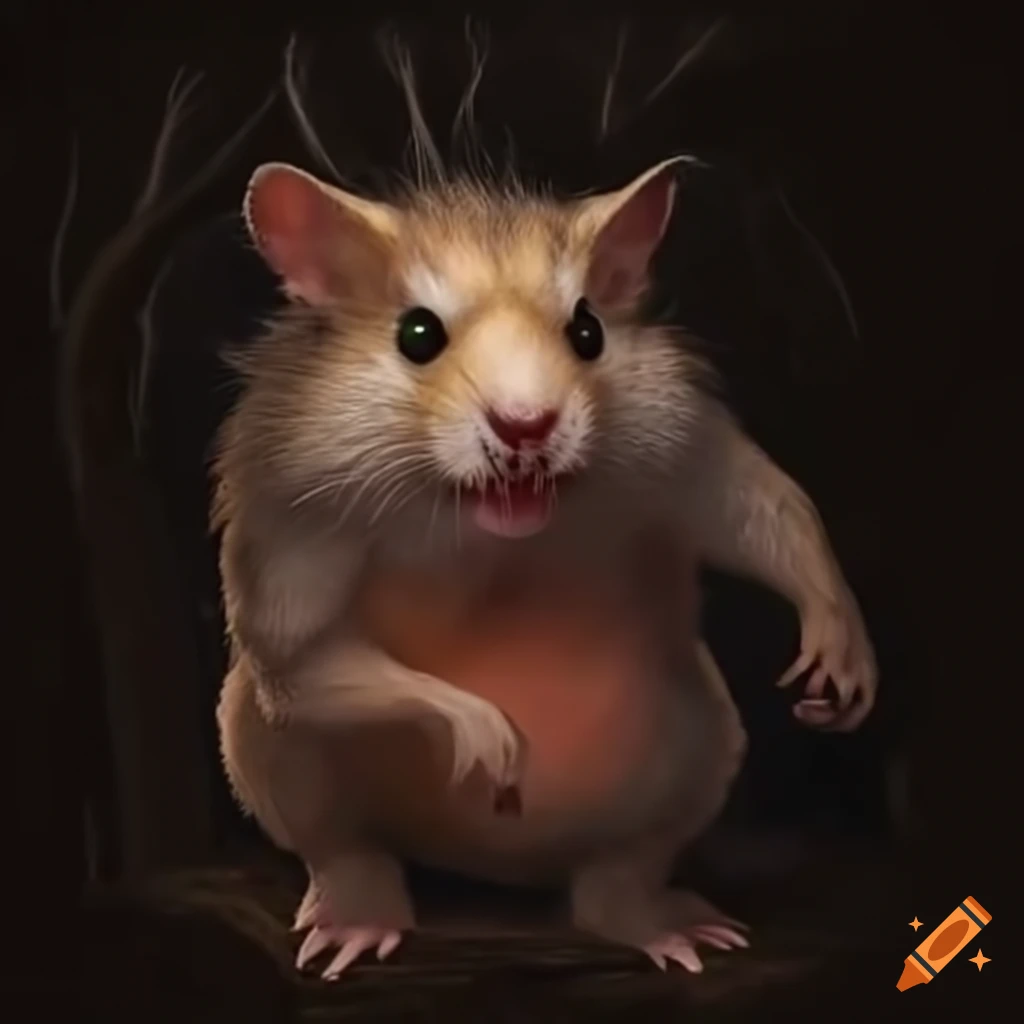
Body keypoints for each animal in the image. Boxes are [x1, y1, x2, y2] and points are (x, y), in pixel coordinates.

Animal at [213, 158, 877, 979]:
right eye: (417, 335)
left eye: (587, 331)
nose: (526, 426)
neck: (492, 523)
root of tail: (486, 863)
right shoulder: (295, 524)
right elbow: (298, 653)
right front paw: (496, 744)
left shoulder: (682, 448)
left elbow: (772, 512)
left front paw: (840, 680)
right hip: (262, 746)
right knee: (345, 847)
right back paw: (353, 927)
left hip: (701, 749)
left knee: (617, 876)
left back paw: (678, 931)